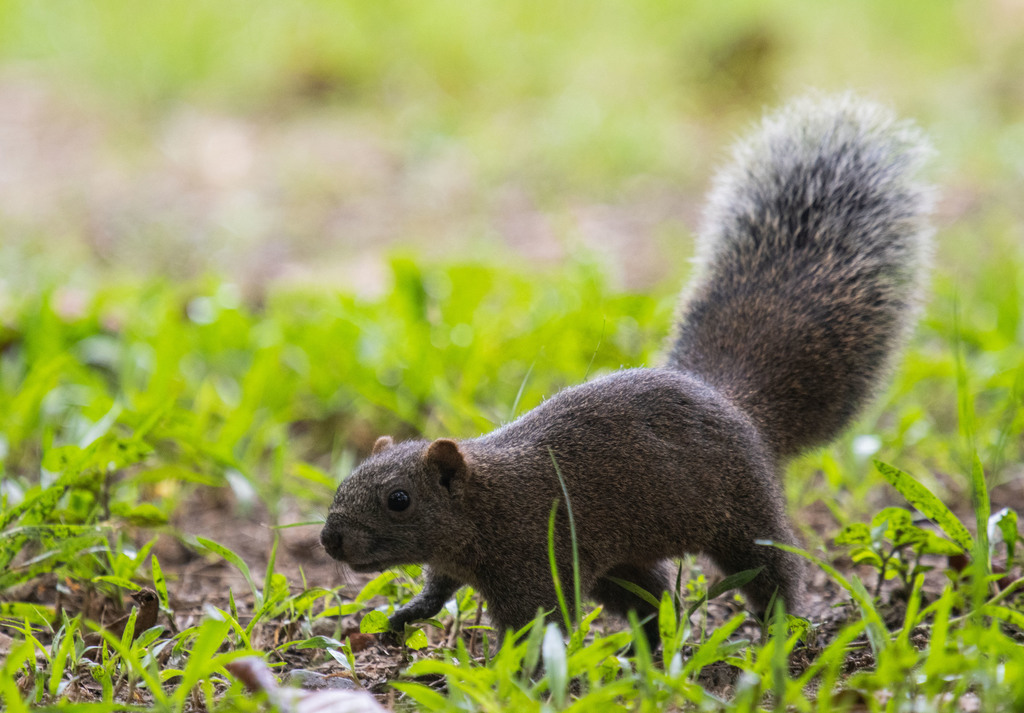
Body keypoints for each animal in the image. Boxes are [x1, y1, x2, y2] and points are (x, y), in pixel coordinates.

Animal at [320, 94, 933, 645]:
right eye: (345, 481)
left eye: (399, 500)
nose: (329, 540)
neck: (483, 504)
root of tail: (733, 403)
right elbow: (438, 589)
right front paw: (405, 616)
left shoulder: (536, 558)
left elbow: (537, 629)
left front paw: (516, 675)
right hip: (623, 561)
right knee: (657, 601)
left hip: (744, 514)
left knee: (773, 572)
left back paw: (781, 628)